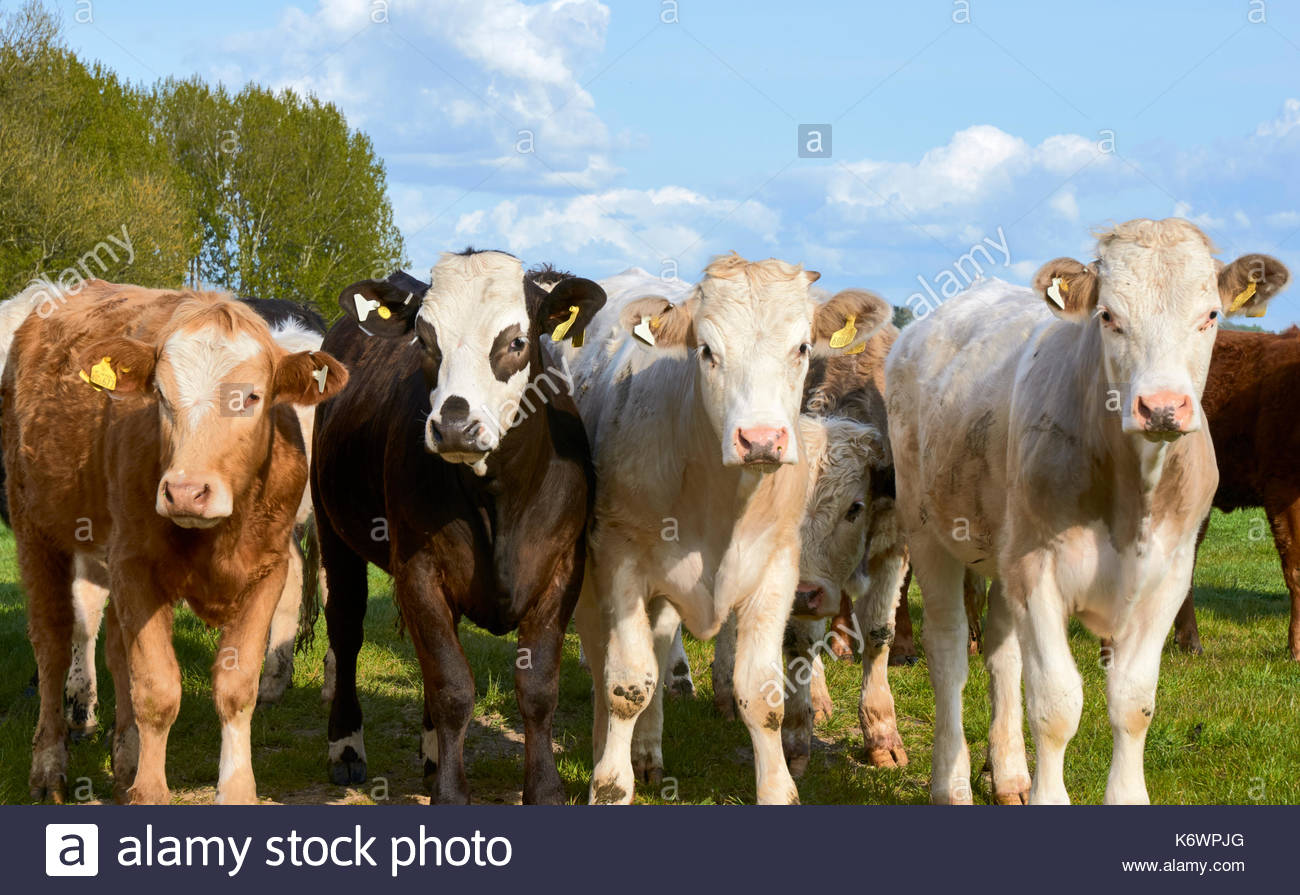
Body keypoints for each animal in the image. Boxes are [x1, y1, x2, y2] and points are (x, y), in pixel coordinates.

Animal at [4, 280, 346, 803]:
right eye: (161, 396)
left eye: (252, 397)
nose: (185, 491)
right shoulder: (135, 567)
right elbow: (156, 691)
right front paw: (149, 791)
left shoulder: (266, 570)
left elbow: (235, 688)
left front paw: (236, 791)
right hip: (35, 531)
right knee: (54, 643)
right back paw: (49, 766)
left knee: (114, 647)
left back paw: (124, 758)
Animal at [311, 251, 605, 805]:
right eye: (424, 341)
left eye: (517, 342)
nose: (453, 426)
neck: (500, 503)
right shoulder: (418, 569)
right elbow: (452, 686)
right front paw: (450, 793)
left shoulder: (562, 569)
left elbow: (537, 690)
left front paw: (544, 789)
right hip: (332, 529)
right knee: (345, 627)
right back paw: (346, 748)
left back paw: (429, 756)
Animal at [565, 253, 890, 804]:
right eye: (707, 350)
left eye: (802, 347)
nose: (760, 439)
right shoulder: (619, 559)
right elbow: (626, 685)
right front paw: (609, 784)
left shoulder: (777, 571)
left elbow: (763, 697)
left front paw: (779, 789)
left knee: (659, 647)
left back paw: (648, 752)